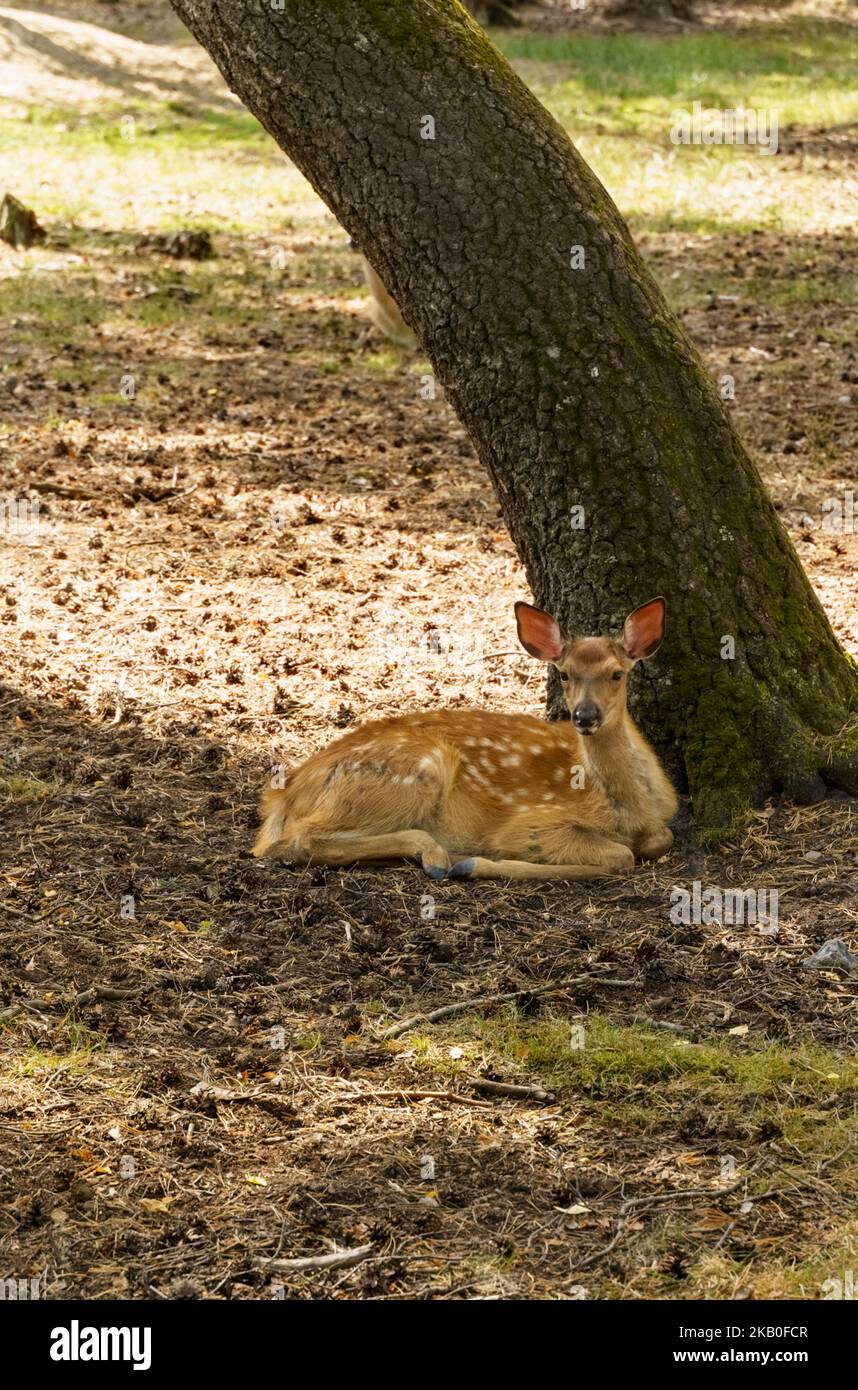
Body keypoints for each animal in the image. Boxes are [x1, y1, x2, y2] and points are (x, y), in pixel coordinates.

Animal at [252, 598, 678, 881]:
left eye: (616, 673)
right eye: (564, 673)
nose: (585, 716)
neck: (627, 806)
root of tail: (284, 793)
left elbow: (663, 837)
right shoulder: (531, 823)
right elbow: (620, 856)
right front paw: (483, 864)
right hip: (412, 771)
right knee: (296, 840)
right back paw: (441, 855)